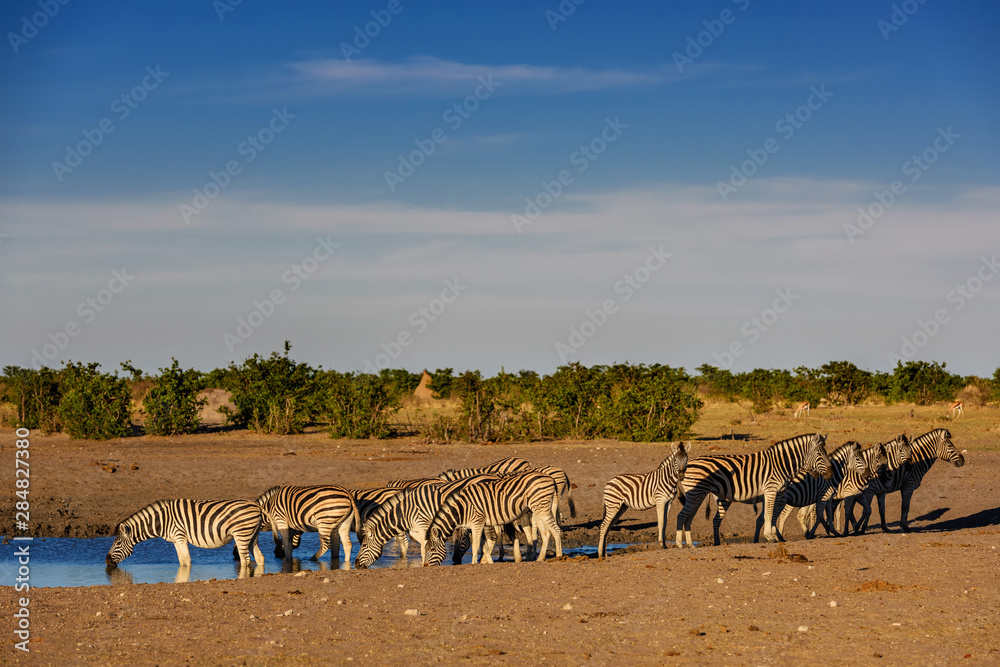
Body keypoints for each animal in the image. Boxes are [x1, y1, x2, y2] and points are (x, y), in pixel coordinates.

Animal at [106, 498, 264, 569]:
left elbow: (187, 561)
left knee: (245, 560)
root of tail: (257, 506)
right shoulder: (176, 540)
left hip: (241, 534)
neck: (162, 521)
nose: (107, 561)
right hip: (252, 535)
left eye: (117, 543)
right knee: (260, 557)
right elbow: (182, 561)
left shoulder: (180, 537)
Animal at [354, 474, 497, 569]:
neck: (406, 511)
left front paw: (424, 564)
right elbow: (424, 545)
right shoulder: (415, 529)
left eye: (364, 545)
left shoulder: (423, 525)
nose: (356, 564)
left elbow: (424, 547)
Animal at [425, 471, 563, 565]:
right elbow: (486, 544)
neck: (463, 508)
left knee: (556, 530)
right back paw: (540, 559)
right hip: (536, 509)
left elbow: (476, 546)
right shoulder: (484, 524)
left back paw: (559, 556)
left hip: (542, 508)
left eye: (432, 549)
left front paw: (474, 563)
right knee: (545, 534)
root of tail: (550, 478)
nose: (426, 566)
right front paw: (485, 560)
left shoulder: (477, 523)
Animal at [675, 433, 833, 547]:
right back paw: (679, 544)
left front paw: (773, 536)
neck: (781, 464)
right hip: (696, 493)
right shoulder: (771, 490)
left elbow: (770, 516)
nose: (830, 474)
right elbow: (769, 515)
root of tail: (687, 465)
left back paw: (694, 544)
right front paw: (770, 537)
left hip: (700, 495)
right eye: (820, 454)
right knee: (682, 516)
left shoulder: (778, 493)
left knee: (693, 518)